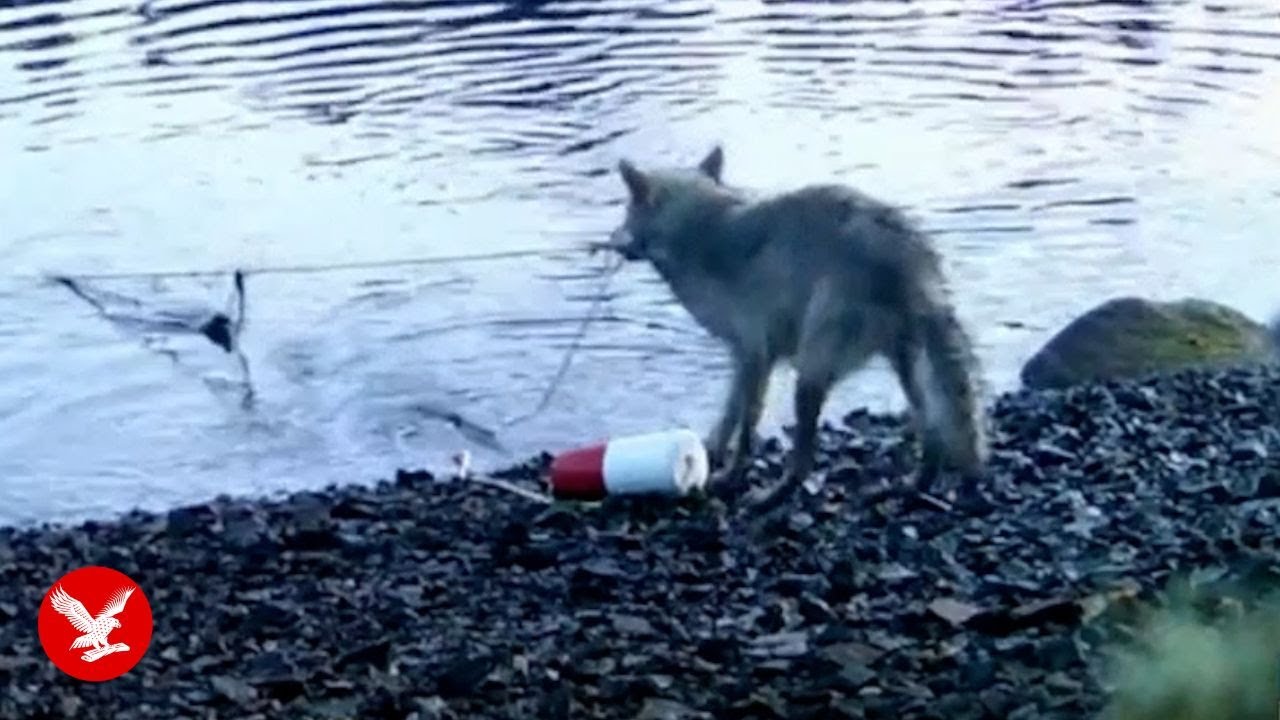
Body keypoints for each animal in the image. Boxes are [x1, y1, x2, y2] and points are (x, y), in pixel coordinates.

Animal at [604, 146, 989, 509]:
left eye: (626, 210)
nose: (609, 239)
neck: (695, 228)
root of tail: (911, 261)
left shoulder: (755, 351)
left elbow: (747, 424)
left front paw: (733, 471)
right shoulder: (742, 355)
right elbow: (730, 412)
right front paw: (714, 448)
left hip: (814, 362)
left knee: (805, 456)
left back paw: (778, 493)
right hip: (905, 360)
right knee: (933, 429)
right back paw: (917, 484)